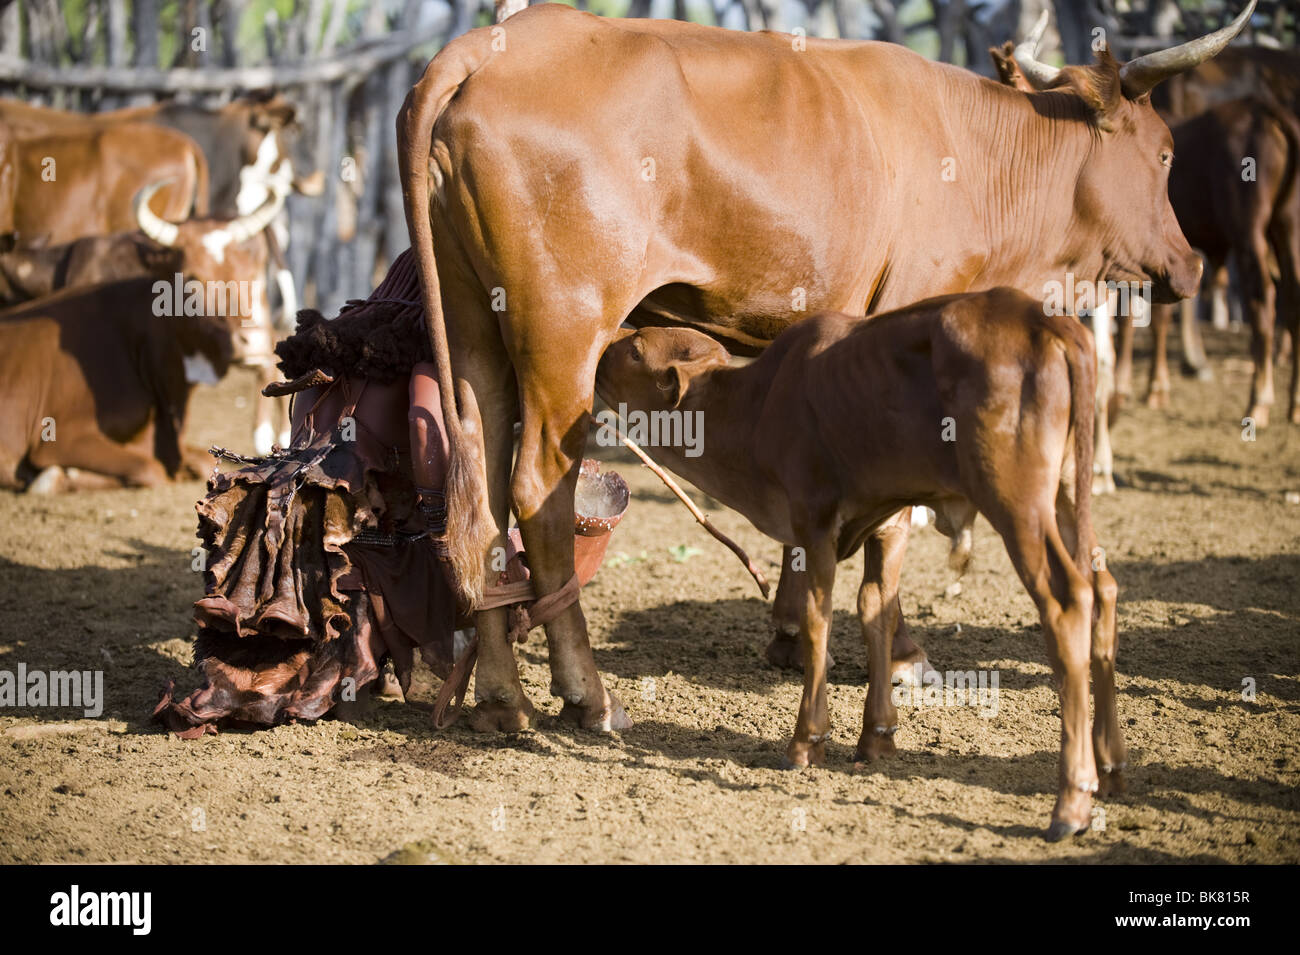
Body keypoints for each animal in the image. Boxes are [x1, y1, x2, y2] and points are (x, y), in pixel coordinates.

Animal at [0, 187, 286, 492]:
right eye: (193, 279)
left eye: (251, 273)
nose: (254, 340)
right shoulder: (61, 437)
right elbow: (150, 469)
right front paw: (55, 476)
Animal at [396, 2, 1251, 736]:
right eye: (1165, 153)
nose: (1191, 265)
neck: (979, 156)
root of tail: (497, 43)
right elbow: (894, 511)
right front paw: (899, 653)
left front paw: (789, 625)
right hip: (565, 329)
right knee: (539, 488)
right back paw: (589, 695)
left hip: (477, 335)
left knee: (481, 489)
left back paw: (501, 696)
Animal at [593, 288, 1118, 839]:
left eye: (635, 349)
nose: (604, 343)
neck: (756, 406)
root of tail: (1046, 323)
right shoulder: (887, 522)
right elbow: (875, 610)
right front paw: (877, 735)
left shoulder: (815, 522)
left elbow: (817, 618)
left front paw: (807, 741)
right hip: (1065, 493)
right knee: (1103, 588)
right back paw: (1111, 769)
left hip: (1017, 501)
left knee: (1069, 601)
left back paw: (1072, 801)